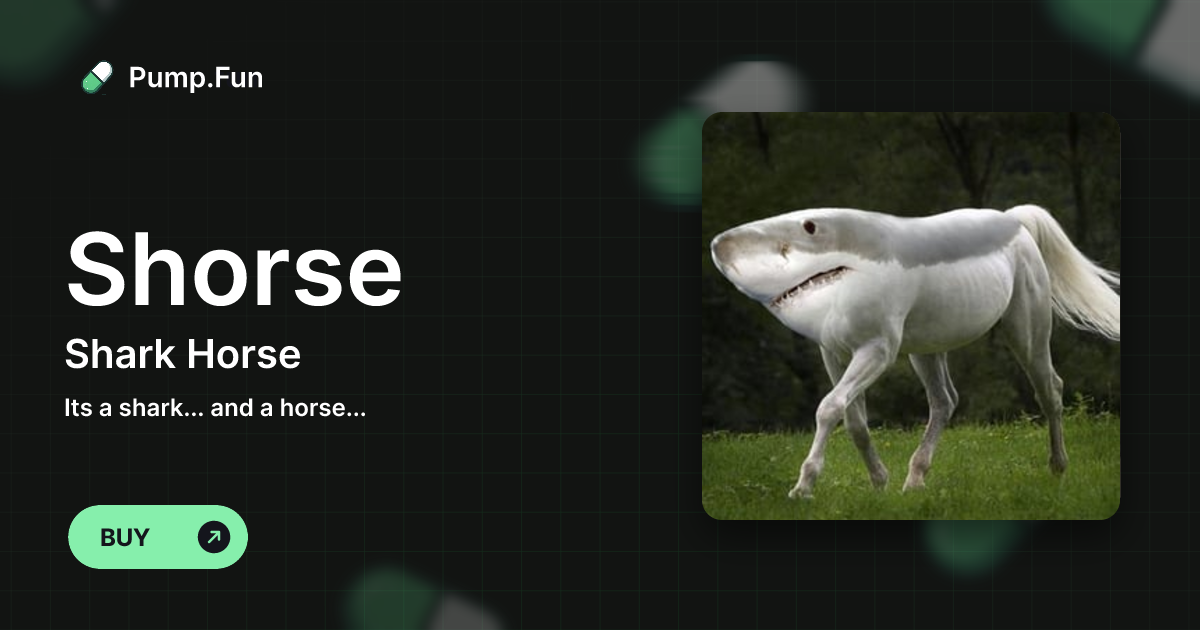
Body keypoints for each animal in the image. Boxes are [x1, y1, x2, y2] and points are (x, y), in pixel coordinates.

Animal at [709, 205, 1120, 499]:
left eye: (810, 227)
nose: (720, 249)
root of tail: (1012, 218)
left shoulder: (878, 350)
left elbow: (829, 407)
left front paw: (804, 487)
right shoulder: (833, 353)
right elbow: (853, 420)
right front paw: (879, 482)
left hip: (1026, 331)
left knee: (1049, 389)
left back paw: (1058, 468)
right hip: (927, 348)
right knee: (944, 400)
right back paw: (914, 481)